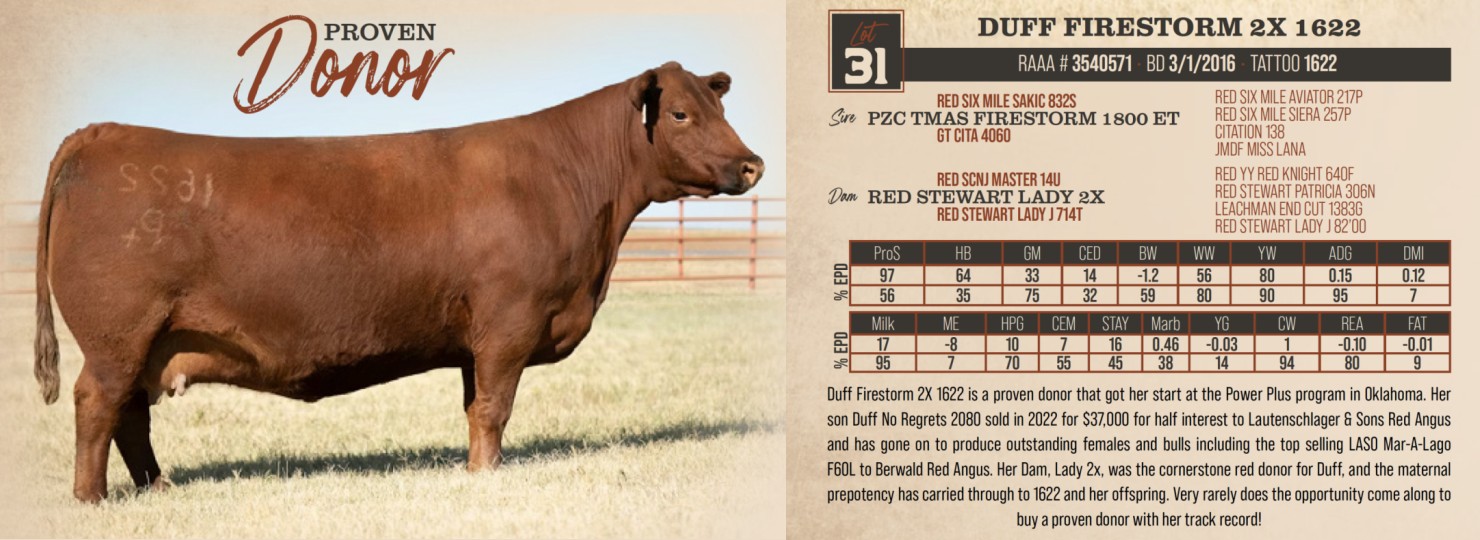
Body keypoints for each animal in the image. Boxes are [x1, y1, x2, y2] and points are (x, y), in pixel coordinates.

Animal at [32, 61, 764, 502]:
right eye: (680, 114)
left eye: (718, 106)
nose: (752, 164)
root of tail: (100, 133)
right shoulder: (509, 323)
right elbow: (494, 408)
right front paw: (485, 478)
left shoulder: (477, 339)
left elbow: (474, 407)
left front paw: (478, 471)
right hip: (119, 333)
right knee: (99, 404)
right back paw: (91, 498)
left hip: (146, 339)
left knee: (131, 413)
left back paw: (157, 488)